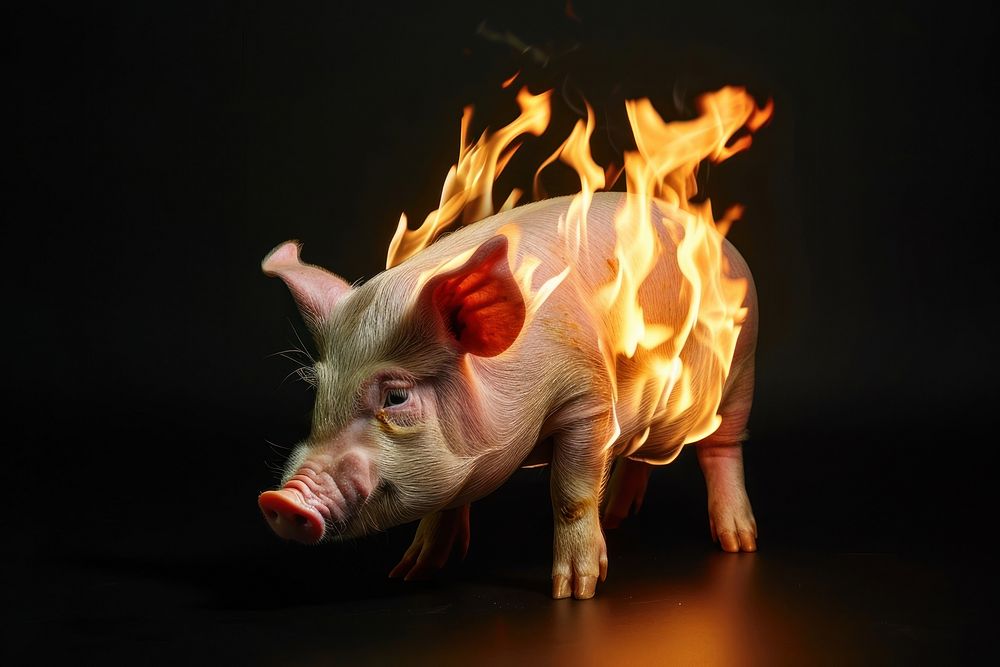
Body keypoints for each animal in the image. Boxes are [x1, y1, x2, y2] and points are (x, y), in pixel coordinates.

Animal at [259, 190, 758, 600]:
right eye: (320, 390)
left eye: (396, 398)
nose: (281, 500)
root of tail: (722, 242)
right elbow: (447, 503)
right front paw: (410, 571)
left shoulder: (587, 400)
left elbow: (571, 493)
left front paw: (575, 591)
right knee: (640, 457)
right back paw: (617, 516)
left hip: (739, 370)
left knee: (722, 448)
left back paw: (738, 542)